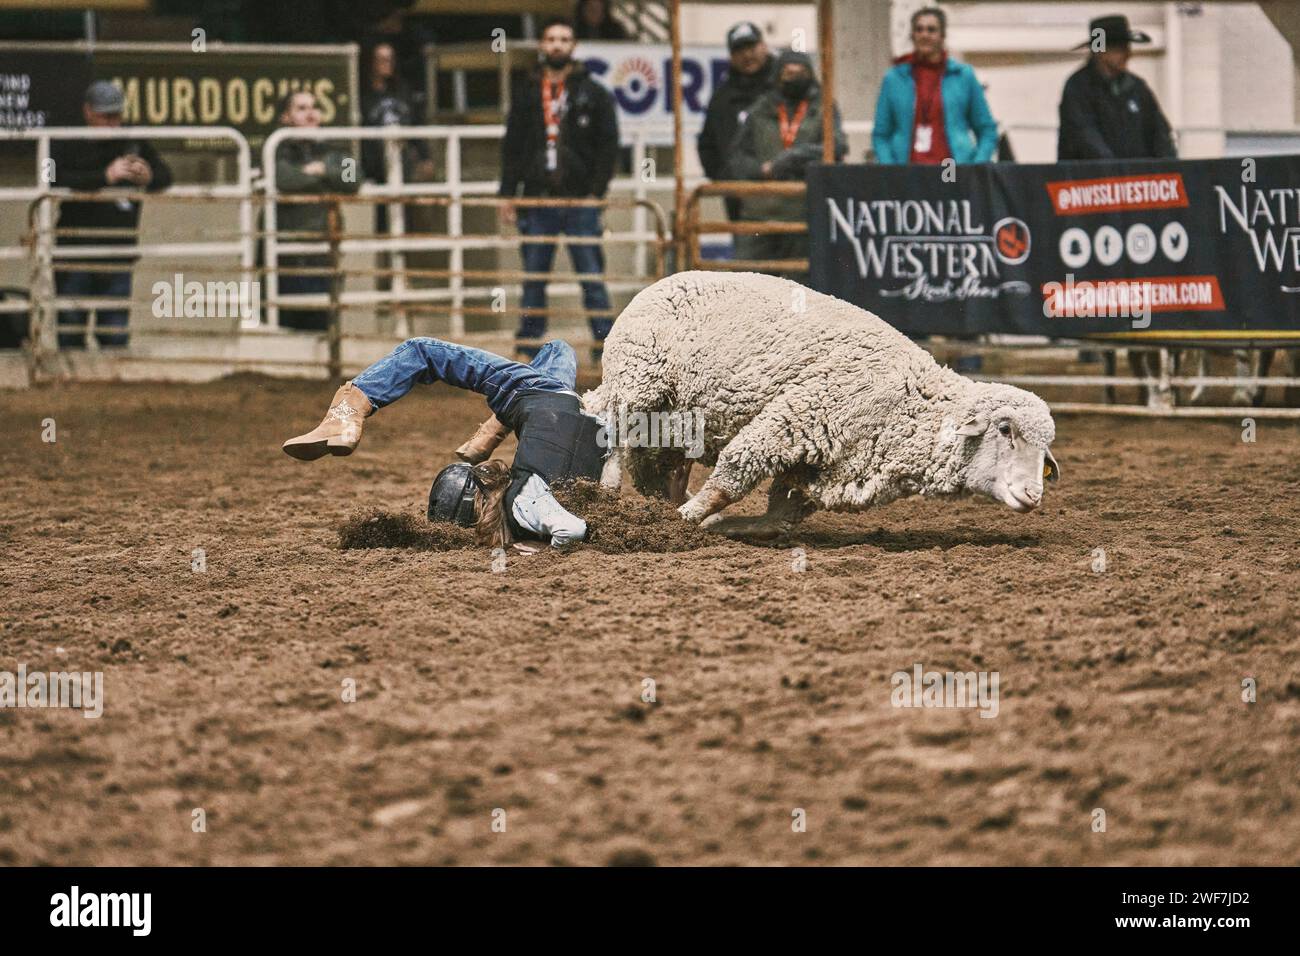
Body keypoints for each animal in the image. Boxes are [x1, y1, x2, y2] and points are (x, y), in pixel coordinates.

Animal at [583, 271, 1061, 538]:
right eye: (1005, 430)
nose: (1034, 495)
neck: (909, 403)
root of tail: (660, 282)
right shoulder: (793, 417)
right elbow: (728, 481)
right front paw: (685, 521)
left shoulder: (813, 470)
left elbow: (776, 520)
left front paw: (718, 525)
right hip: (638, 380)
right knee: (613, 429)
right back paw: (609, 489)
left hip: (675, 418)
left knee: (658, 465)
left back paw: (664, 498)